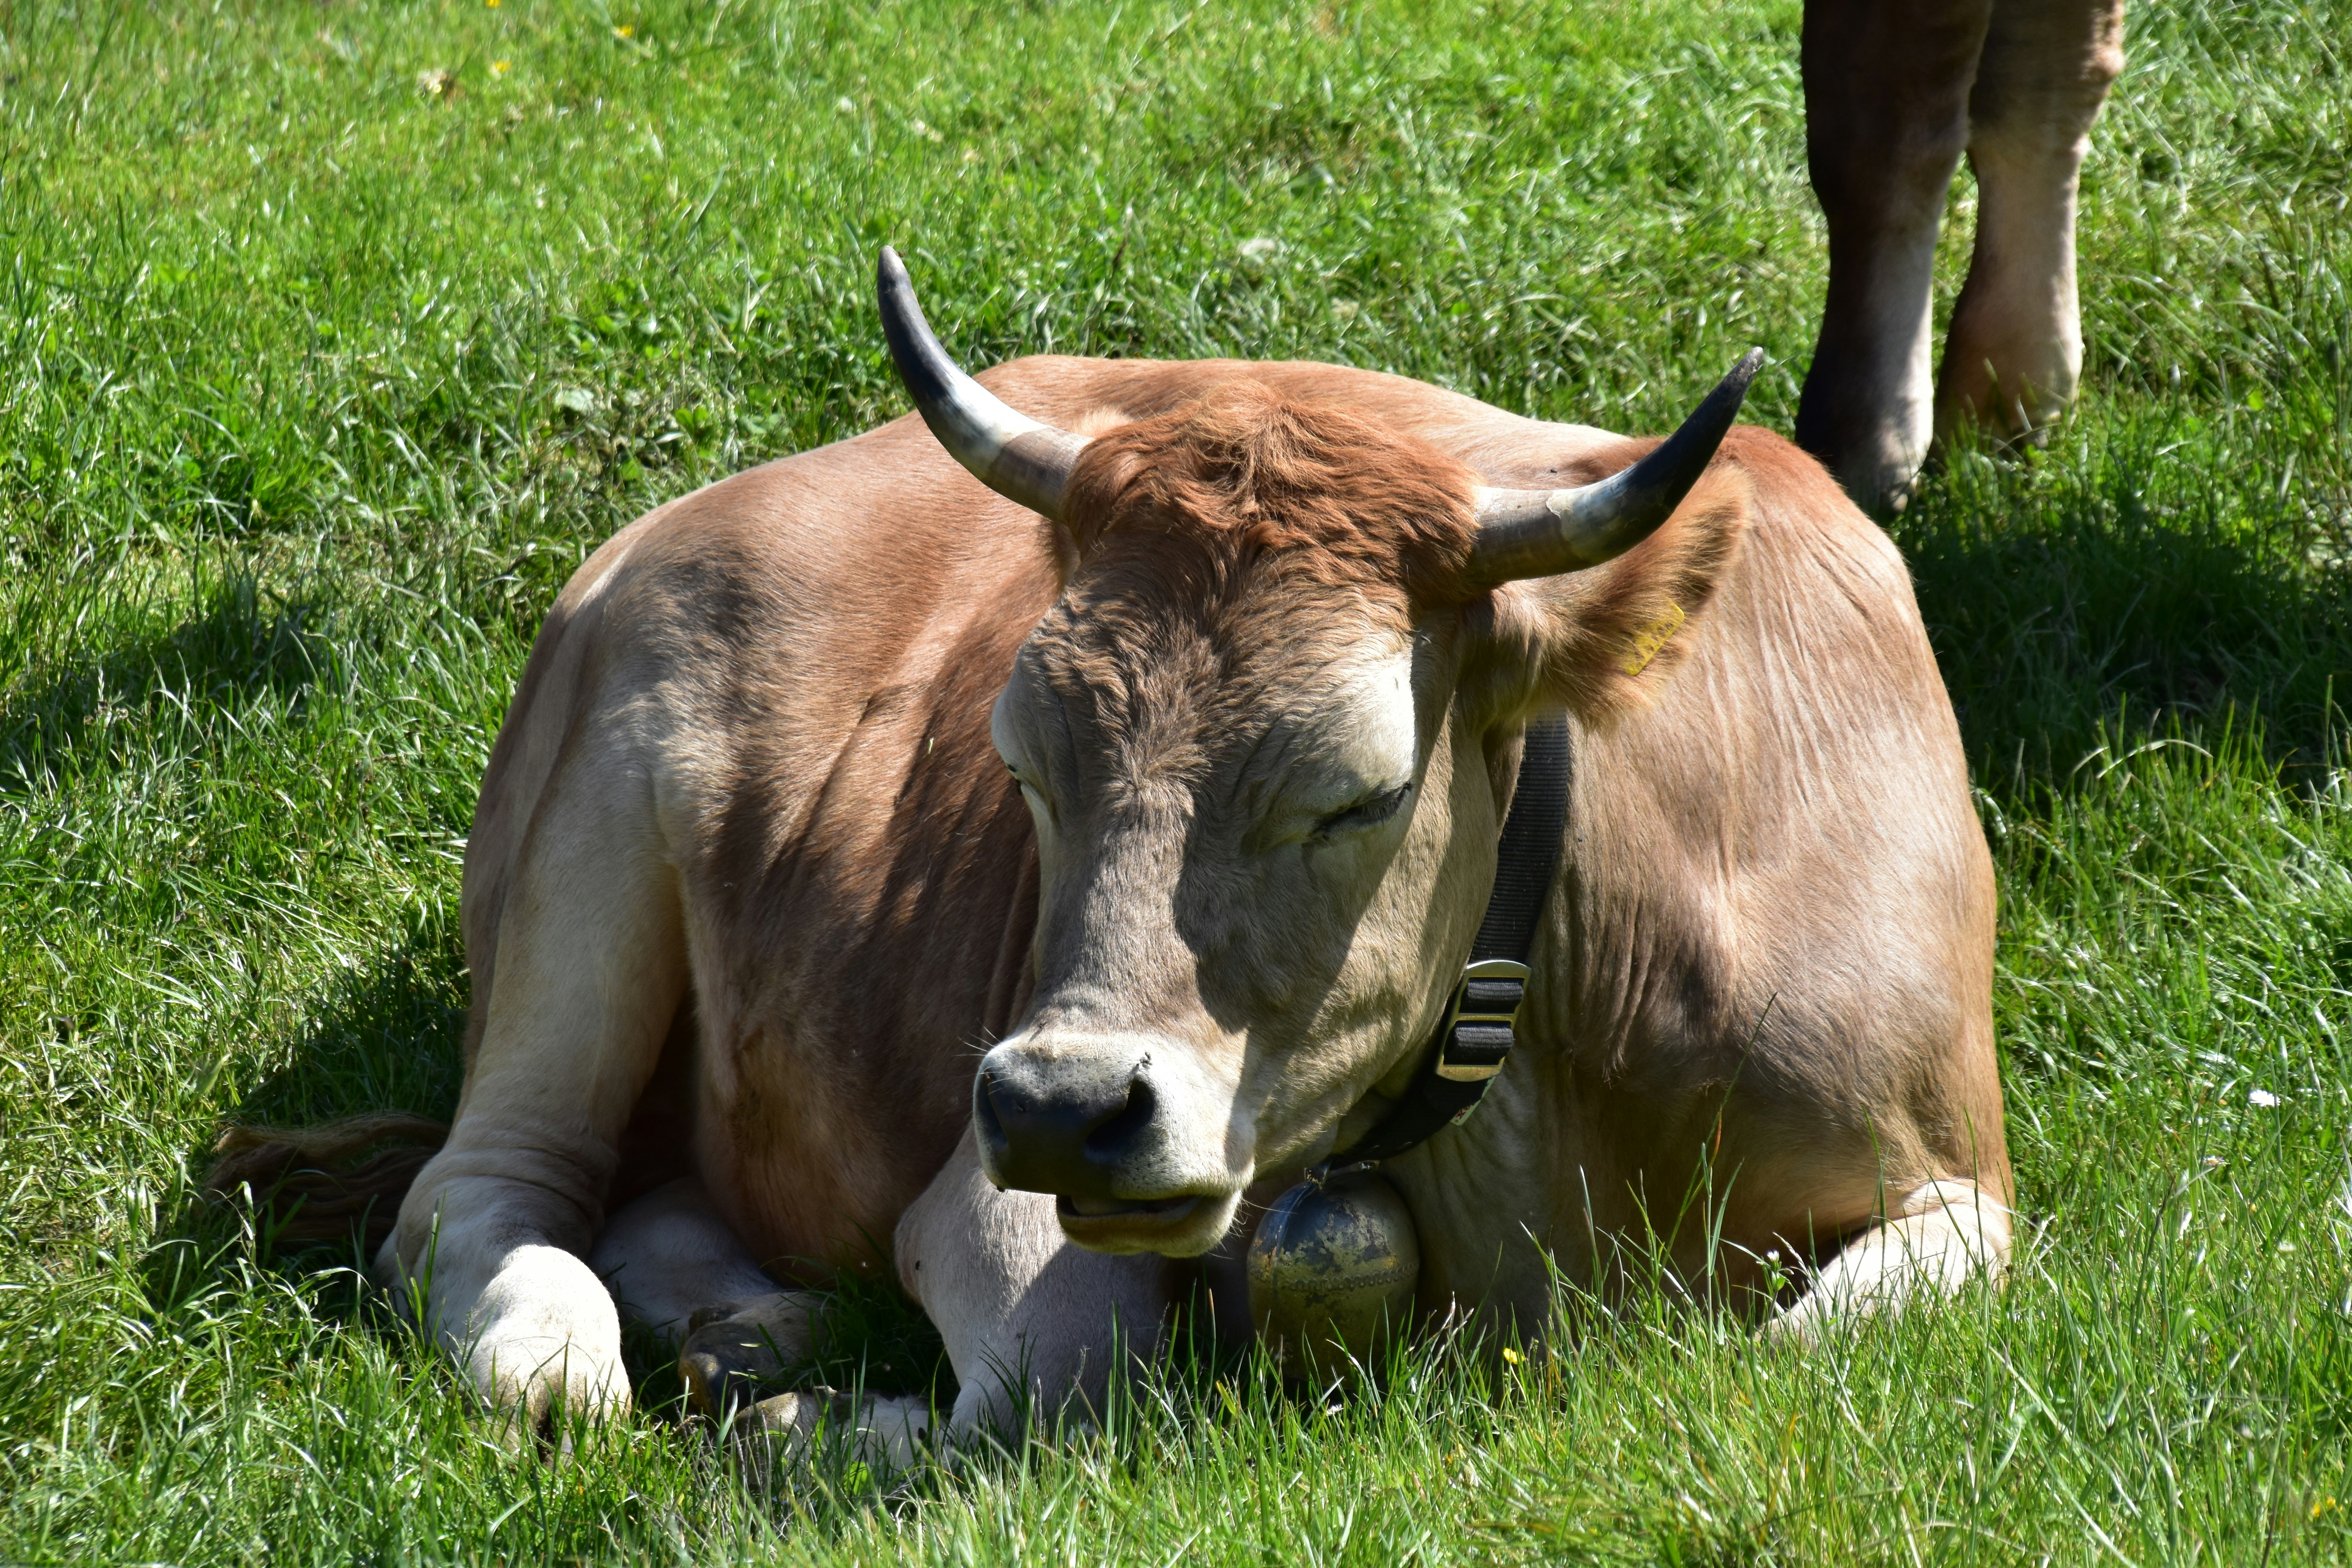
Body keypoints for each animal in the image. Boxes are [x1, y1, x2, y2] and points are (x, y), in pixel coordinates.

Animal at [225, 250, 2014, 1450]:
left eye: (1359, 791)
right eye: (1021, 765)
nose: (1057, 1103)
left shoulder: (1960, 1173)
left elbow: (1791, 1356)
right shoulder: (987, 1190)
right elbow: (1061, 1385)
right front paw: (835, 1432)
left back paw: (748, 1323)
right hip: (587, 858)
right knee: (482, 1186)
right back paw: (570, 1355)